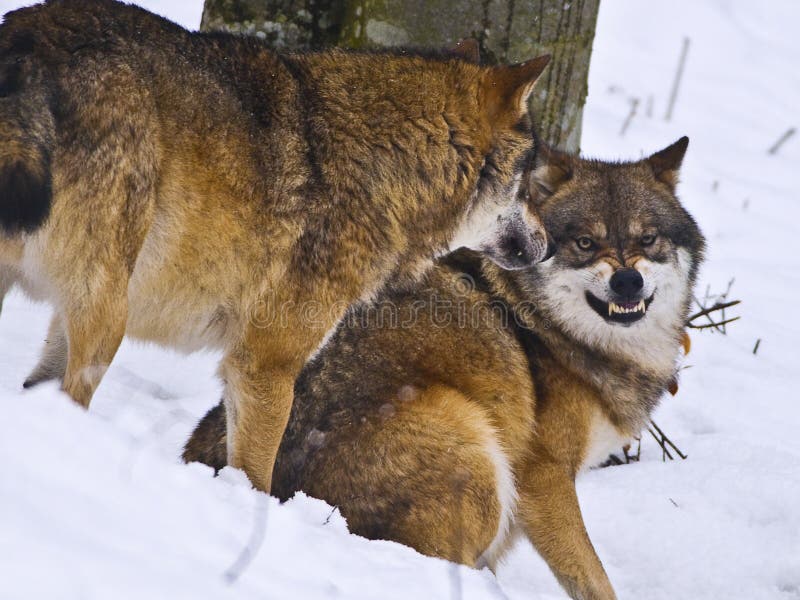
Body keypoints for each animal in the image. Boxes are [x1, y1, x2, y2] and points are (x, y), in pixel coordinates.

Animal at [0, 1, 552, 492]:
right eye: (529, 182)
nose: (546, 246)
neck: (385, 166)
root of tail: (31, 39)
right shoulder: (266, 365)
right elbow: (255, 477)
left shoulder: (63, 322)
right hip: (108, 319)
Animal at [184, 137, 705, 599]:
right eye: (585, 243)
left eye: (648, 239)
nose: (627, 281)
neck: (548, 328)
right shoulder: (544, 477)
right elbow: (593, 577)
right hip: (472, 439)